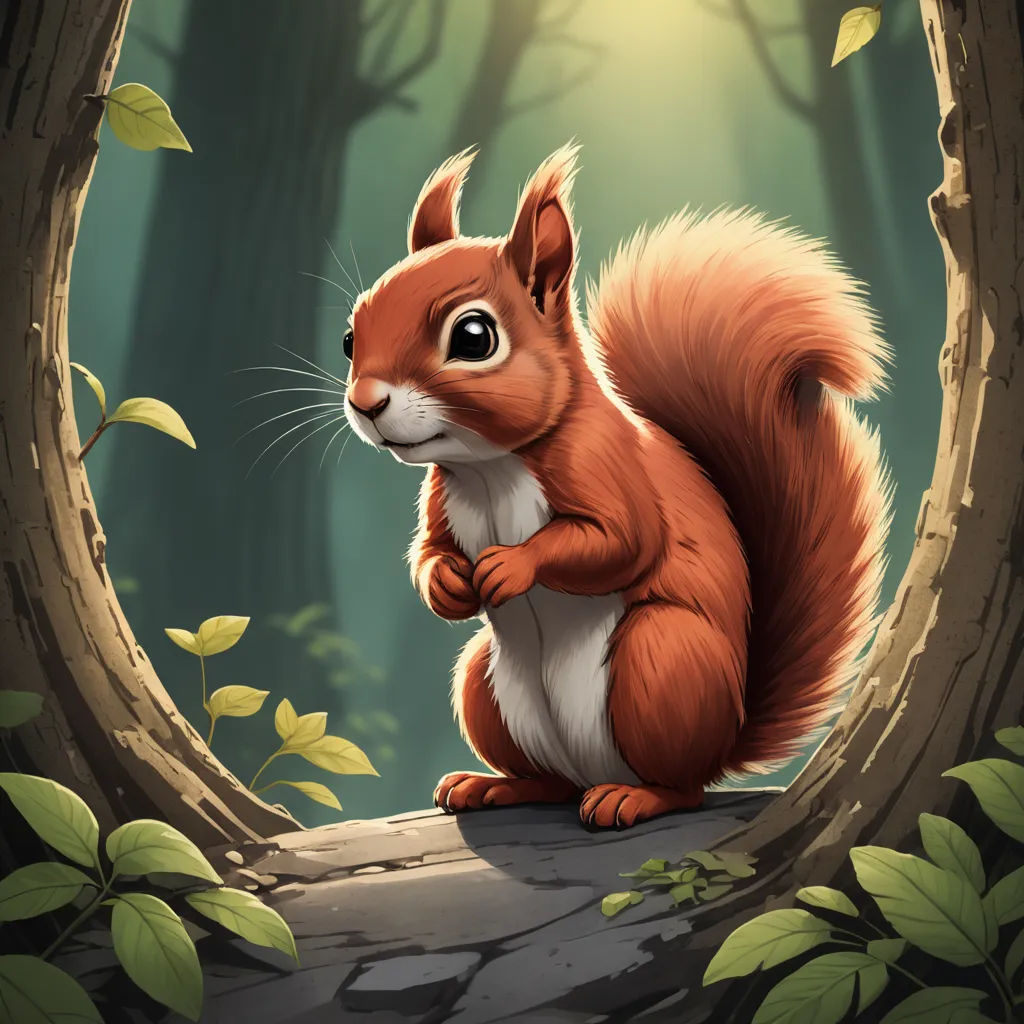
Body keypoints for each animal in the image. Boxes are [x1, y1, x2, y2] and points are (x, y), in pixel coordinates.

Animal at [343, 144, 890, 828]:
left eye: (474, 337)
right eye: (350, 336)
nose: (366, 403)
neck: (490, 466)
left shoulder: (609, 468)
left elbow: (619, 542)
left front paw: (510, 566)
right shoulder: (441, 498)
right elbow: (429, 552)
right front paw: (447, 584)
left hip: (661, 662)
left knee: (684, 787)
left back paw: (635, 797)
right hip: (482, 686)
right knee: (548, 780)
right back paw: (491, 786)